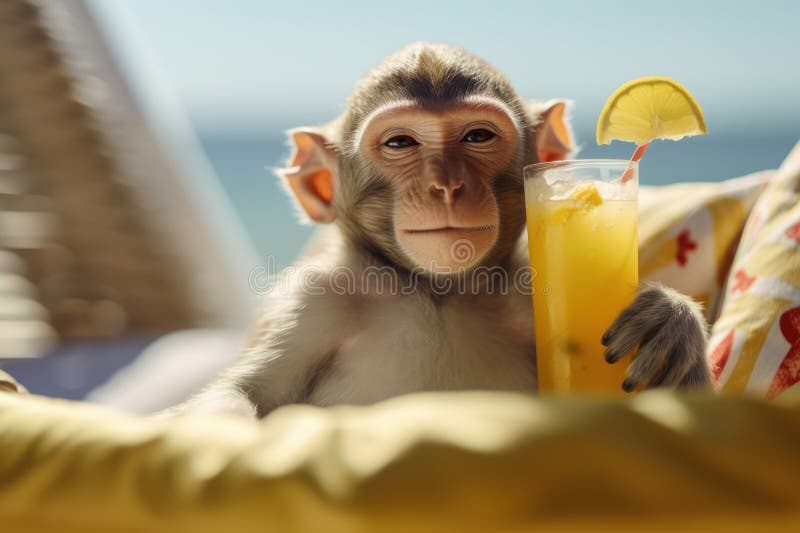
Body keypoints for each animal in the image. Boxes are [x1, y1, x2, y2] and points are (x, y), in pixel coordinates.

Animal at [170, 43, 711, 418]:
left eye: (477, 135)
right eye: (400, 142)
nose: (446, 186)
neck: (439, 294)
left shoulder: (528, 299)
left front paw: (672, 320)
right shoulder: (315, 299)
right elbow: (241, 393)